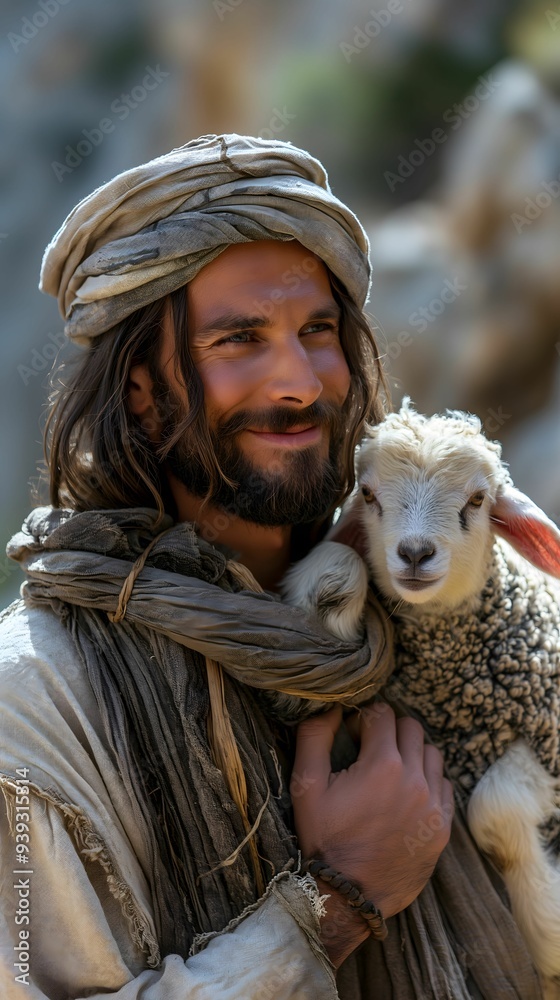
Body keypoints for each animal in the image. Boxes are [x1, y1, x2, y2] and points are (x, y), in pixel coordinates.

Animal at [281, 398, 560, 988]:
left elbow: (494, 807)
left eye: (478, 499)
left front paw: (547, 927)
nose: (414, 552)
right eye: (367, 495)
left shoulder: (549, 734)